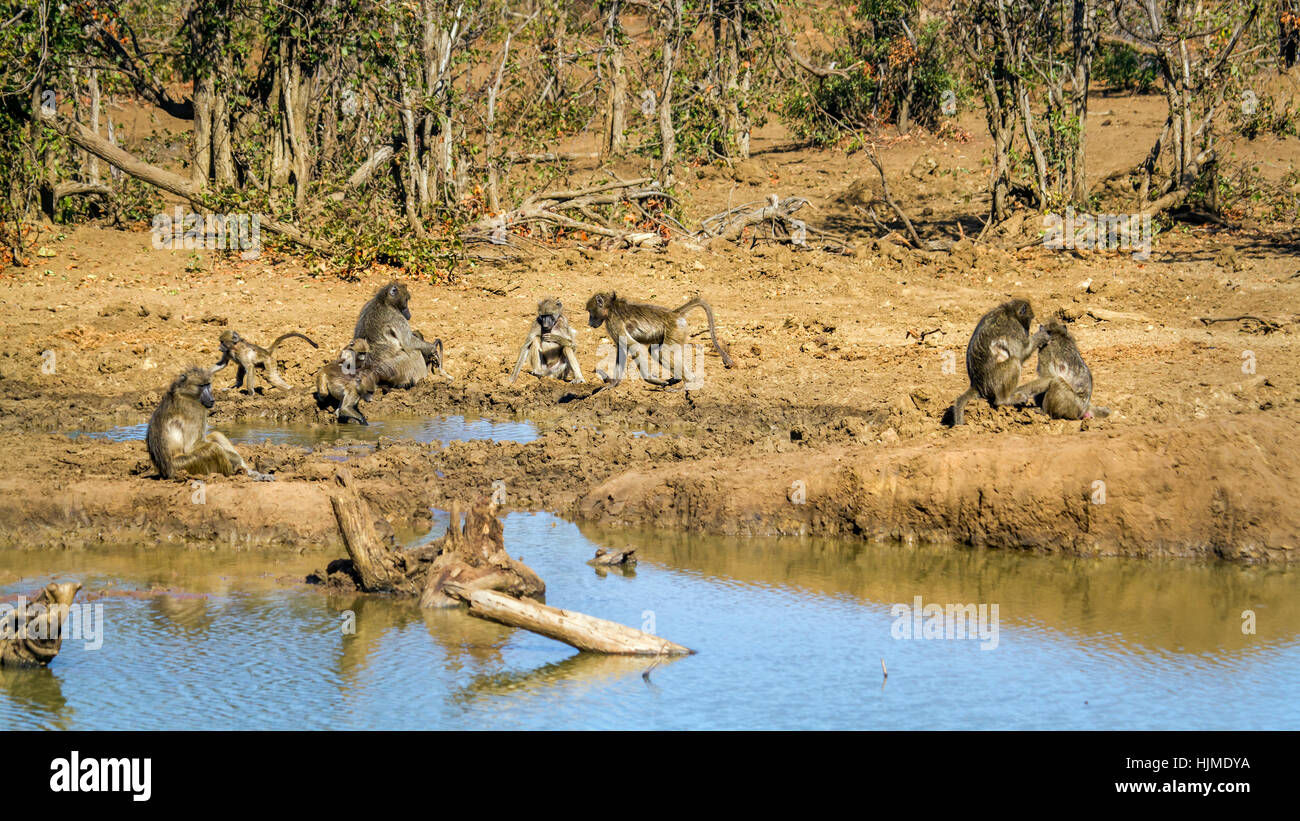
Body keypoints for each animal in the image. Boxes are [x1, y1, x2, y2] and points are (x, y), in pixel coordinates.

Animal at [584, 291, 733, 389]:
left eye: (591, 312)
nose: (589, 323)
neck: (610, 308)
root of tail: (675, 314)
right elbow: (622, 349)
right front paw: (613, 384)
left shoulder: (613, 323)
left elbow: (633, 346)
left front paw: (651, 380)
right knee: (657, 352)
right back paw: (684, 379)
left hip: (675, 330)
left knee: (663, 353)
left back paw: (687, 384)